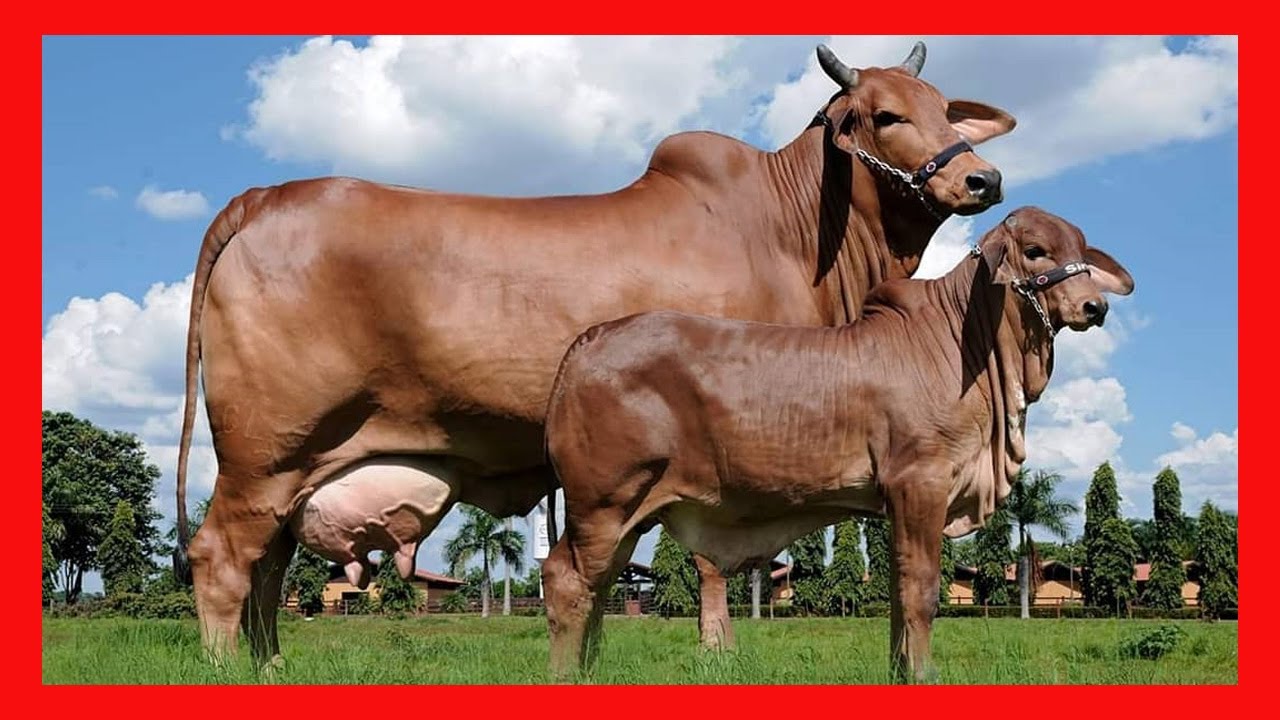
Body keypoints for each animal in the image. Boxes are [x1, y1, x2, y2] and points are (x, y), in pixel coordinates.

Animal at [172, 41, 1017, 666]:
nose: (984, 178)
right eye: (884, 115)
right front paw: (718, 652)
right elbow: (708, 559)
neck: (796, 233)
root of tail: (267, 197)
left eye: (946, 108)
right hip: (263, 448)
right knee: (220, 557)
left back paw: (271, 667)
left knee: (268, 566)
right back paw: (227, 673)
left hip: (295, 464)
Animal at [541, 206, 1134, 682]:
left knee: (598, 585)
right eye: (1035, 251)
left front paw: (900, 671)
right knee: (566, 580)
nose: (1094, 307)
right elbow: (921, 590)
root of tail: (588, 340)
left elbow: (898, 590)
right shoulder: (921, 482)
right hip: (604, 499)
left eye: (1081, 251)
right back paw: (567, 676)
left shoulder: (899, 501)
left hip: (629, 512)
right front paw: (923, 676)